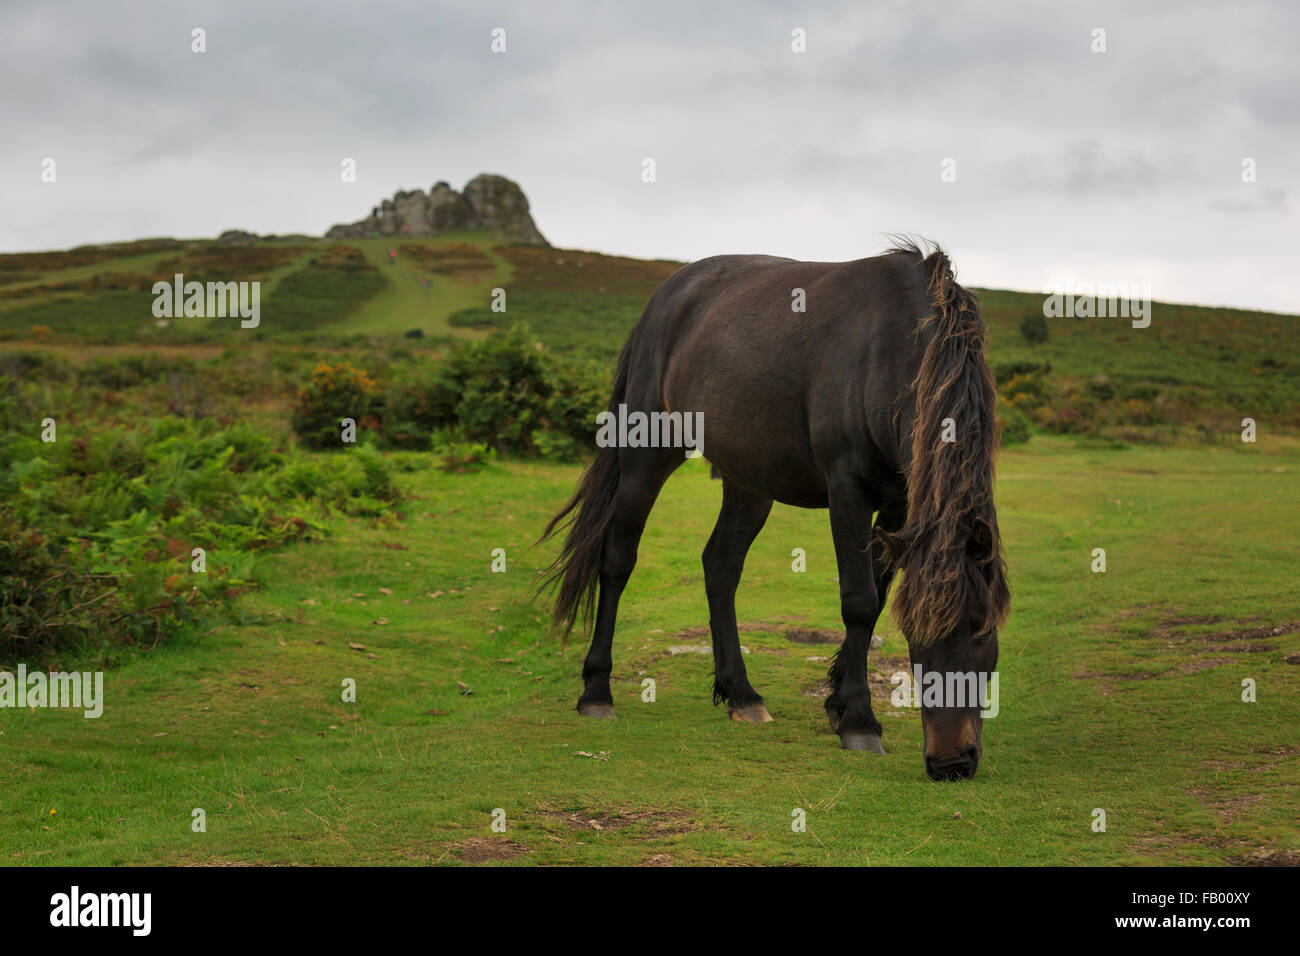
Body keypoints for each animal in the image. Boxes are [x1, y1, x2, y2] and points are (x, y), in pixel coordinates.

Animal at [538, 241, 1009, 780]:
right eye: (914, 634)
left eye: (985, 631)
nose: (952, 761)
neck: (891, 347)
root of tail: (666, 298)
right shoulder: (847, 491)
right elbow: (859, 600)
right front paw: (859, 721)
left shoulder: (898, 504)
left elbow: (875, 596)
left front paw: (838, 704)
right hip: (647, 458)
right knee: (617, 559)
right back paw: (597, 691)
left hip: (748, 483)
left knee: (720, 566)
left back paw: (741, 695)